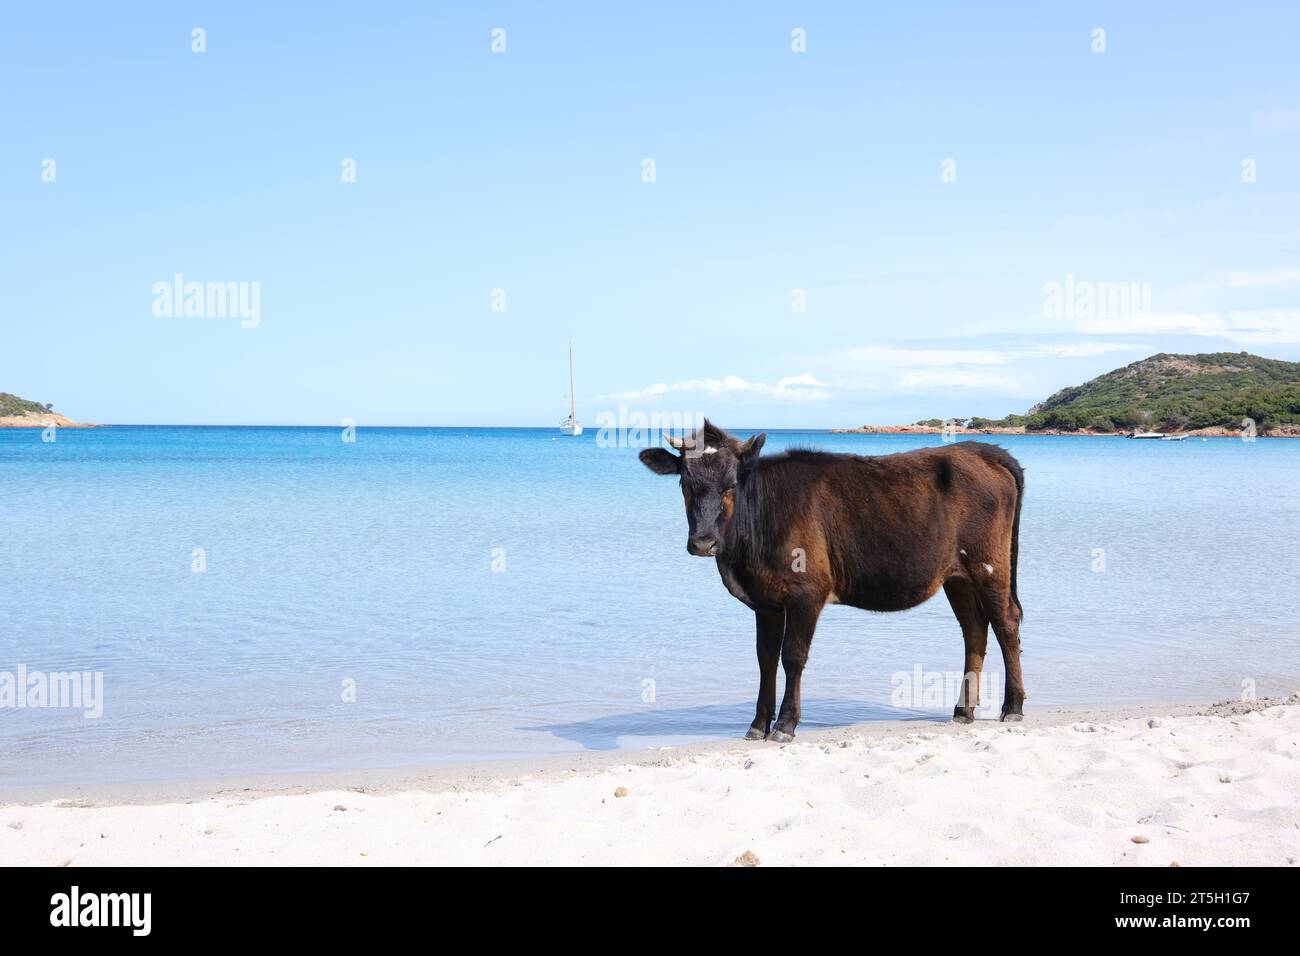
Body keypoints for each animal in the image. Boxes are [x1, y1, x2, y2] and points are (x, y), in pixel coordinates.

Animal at [639, 420, 1025, 742]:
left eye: (731, 485)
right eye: (684, 483)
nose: (703, 543)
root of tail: (980, 450)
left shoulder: (807, 593)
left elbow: (792, 657)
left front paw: (785, 725)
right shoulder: (765, 602)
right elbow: (765, 658)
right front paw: (758, 725)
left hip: (989, 566)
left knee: (1006, 623)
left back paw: (1013, 707)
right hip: (957, 577)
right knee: (974, 630)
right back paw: (963, 710)